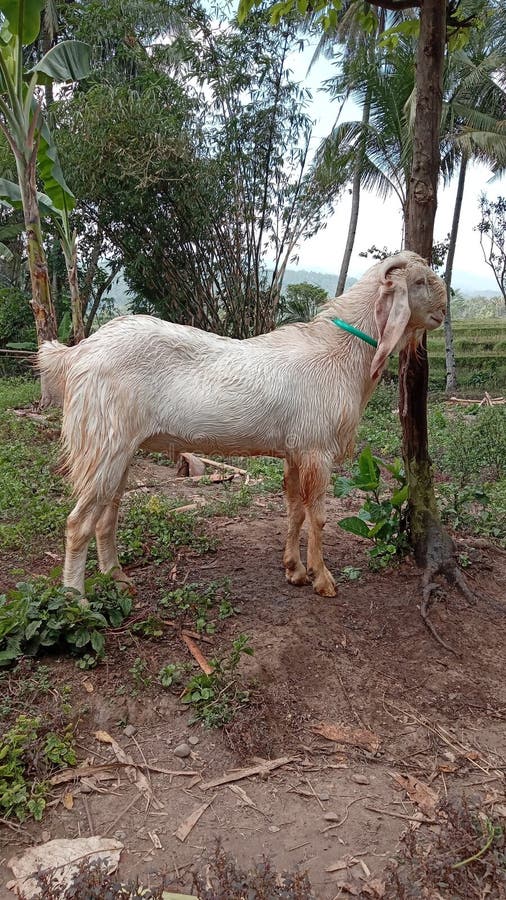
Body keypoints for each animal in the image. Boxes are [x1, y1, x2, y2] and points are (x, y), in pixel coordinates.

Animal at [38, 251, 446, 599]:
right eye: (421, 281)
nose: (444, 311)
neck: (341, 352)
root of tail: (77, 354)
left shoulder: (295, 450)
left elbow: (295, 508)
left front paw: (294, 570)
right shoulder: (317, 449)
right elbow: (318, 516)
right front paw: (323, 579)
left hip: (118, 447)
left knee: (107, 513)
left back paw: (117, 576)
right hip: (102, 441)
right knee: (78, 523)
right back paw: (77, 600)